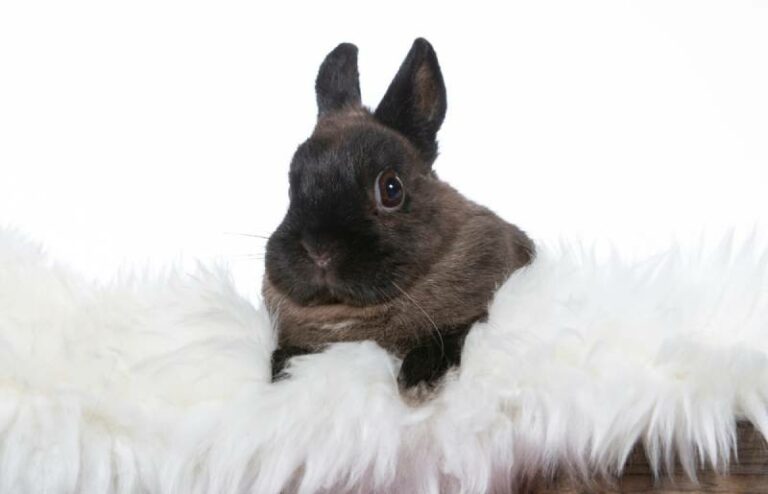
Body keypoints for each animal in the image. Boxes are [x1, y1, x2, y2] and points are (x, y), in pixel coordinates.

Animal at [263, 38, 534, 390]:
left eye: (391, 188)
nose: (318, 250)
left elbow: (452, 335)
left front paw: (418, 381)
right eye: (292, 186)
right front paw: (281, 372)